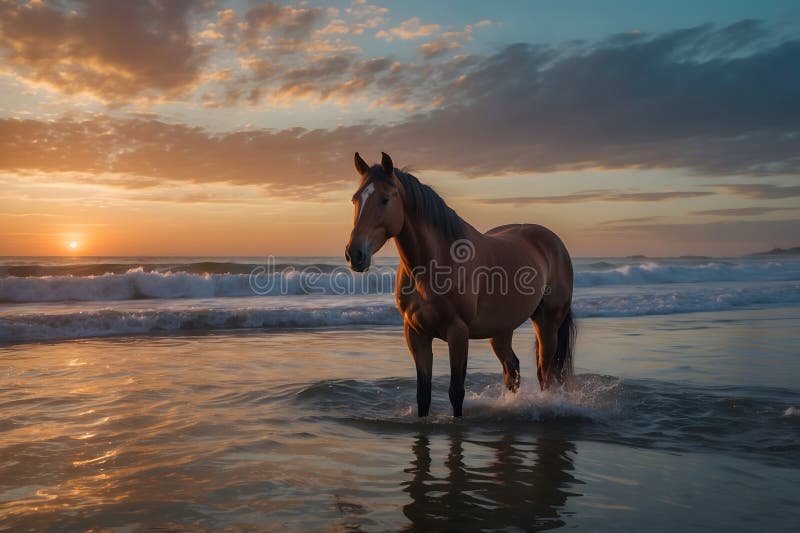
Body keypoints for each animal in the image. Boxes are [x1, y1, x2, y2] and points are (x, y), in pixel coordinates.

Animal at [345, 152, 576, 417]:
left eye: (384, 199)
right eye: (355, 199)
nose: (354, 254)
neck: (434, 264)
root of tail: (554, 242)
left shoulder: (458, 332)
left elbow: (456, 392)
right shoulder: (416, 334)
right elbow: (423, 395)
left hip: (547, 324)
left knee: (545, 374)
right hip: (501, 330)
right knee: (512, 369)